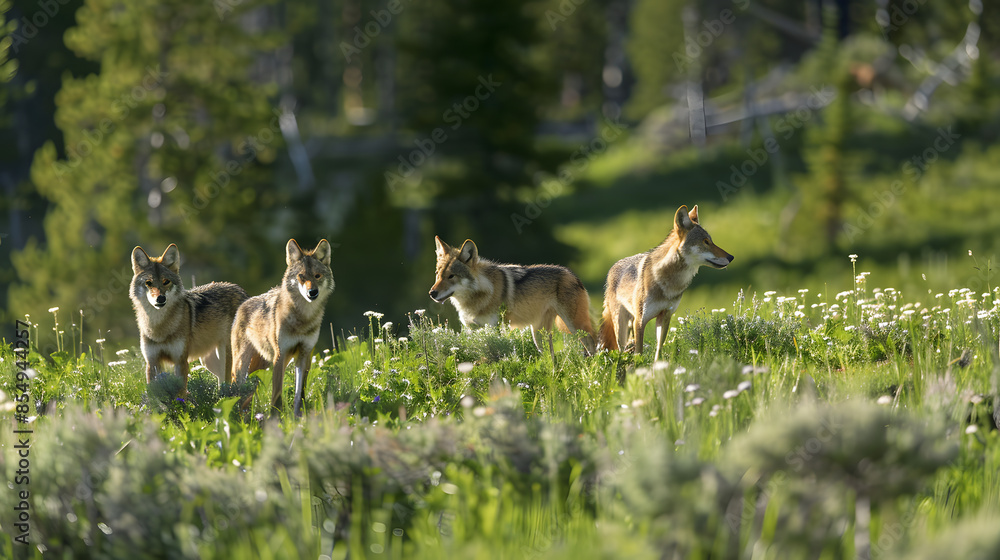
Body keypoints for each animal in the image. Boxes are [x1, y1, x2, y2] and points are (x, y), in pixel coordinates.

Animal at [130, 244, 248, 392]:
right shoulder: (152, 363)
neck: (158, 328)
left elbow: (181, 392)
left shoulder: (181, 362)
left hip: (227, 358)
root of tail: (240, 290)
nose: (160, 298)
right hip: (208, 362)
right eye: (149, 283)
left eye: (166, 282)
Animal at [231, 239, 334, 417]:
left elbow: (300, 393)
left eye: (317, 276)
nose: (312, 292)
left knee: (248, 394)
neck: (303, 319)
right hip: (242, 365)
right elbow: (277, 393)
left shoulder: (305, 355)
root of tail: (244, 302)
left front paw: (298, 417)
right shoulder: (281, 355)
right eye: (301, 276)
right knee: (235, 388)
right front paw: (275, 418)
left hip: (262, 368)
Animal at [429, 236, 597, 358]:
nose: (432, 293)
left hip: (576, 327)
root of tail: (573, 276)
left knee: (593, 345)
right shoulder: (472, 330)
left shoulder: (495, 328)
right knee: (552, 357)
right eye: (437, 274)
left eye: (451, 276)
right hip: (539, 336)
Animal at [599, 205, 733, 362]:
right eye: (706, 241)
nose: (731, 257)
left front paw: (657, 367)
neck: (669, 283)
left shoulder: (665, 317)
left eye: (711, 241)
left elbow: (659, 350)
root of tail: (612, 268)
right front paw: (639, 367)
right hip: (621, 327)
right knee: (621, 350)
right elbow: (639, 353)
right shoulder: (640, 321)